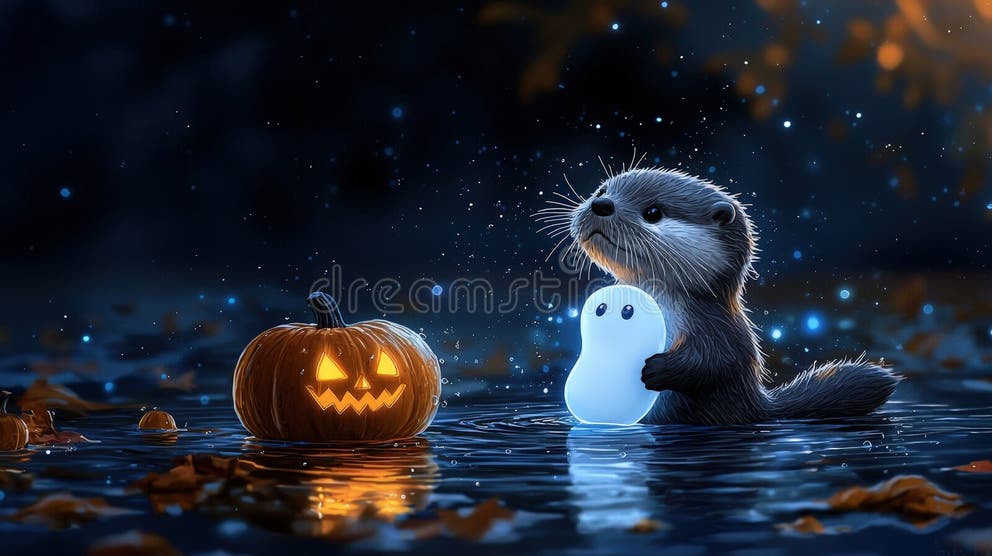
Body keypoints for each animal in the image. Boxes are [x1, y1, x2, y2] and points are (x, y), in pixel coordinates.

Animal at [549, 167, 900, 424]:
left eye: (653, 212)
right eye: (602, 190)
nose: (601, 205)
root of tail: (759, 407)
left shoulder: (720, 329)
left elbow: (716, 362)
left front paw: (658, 369)